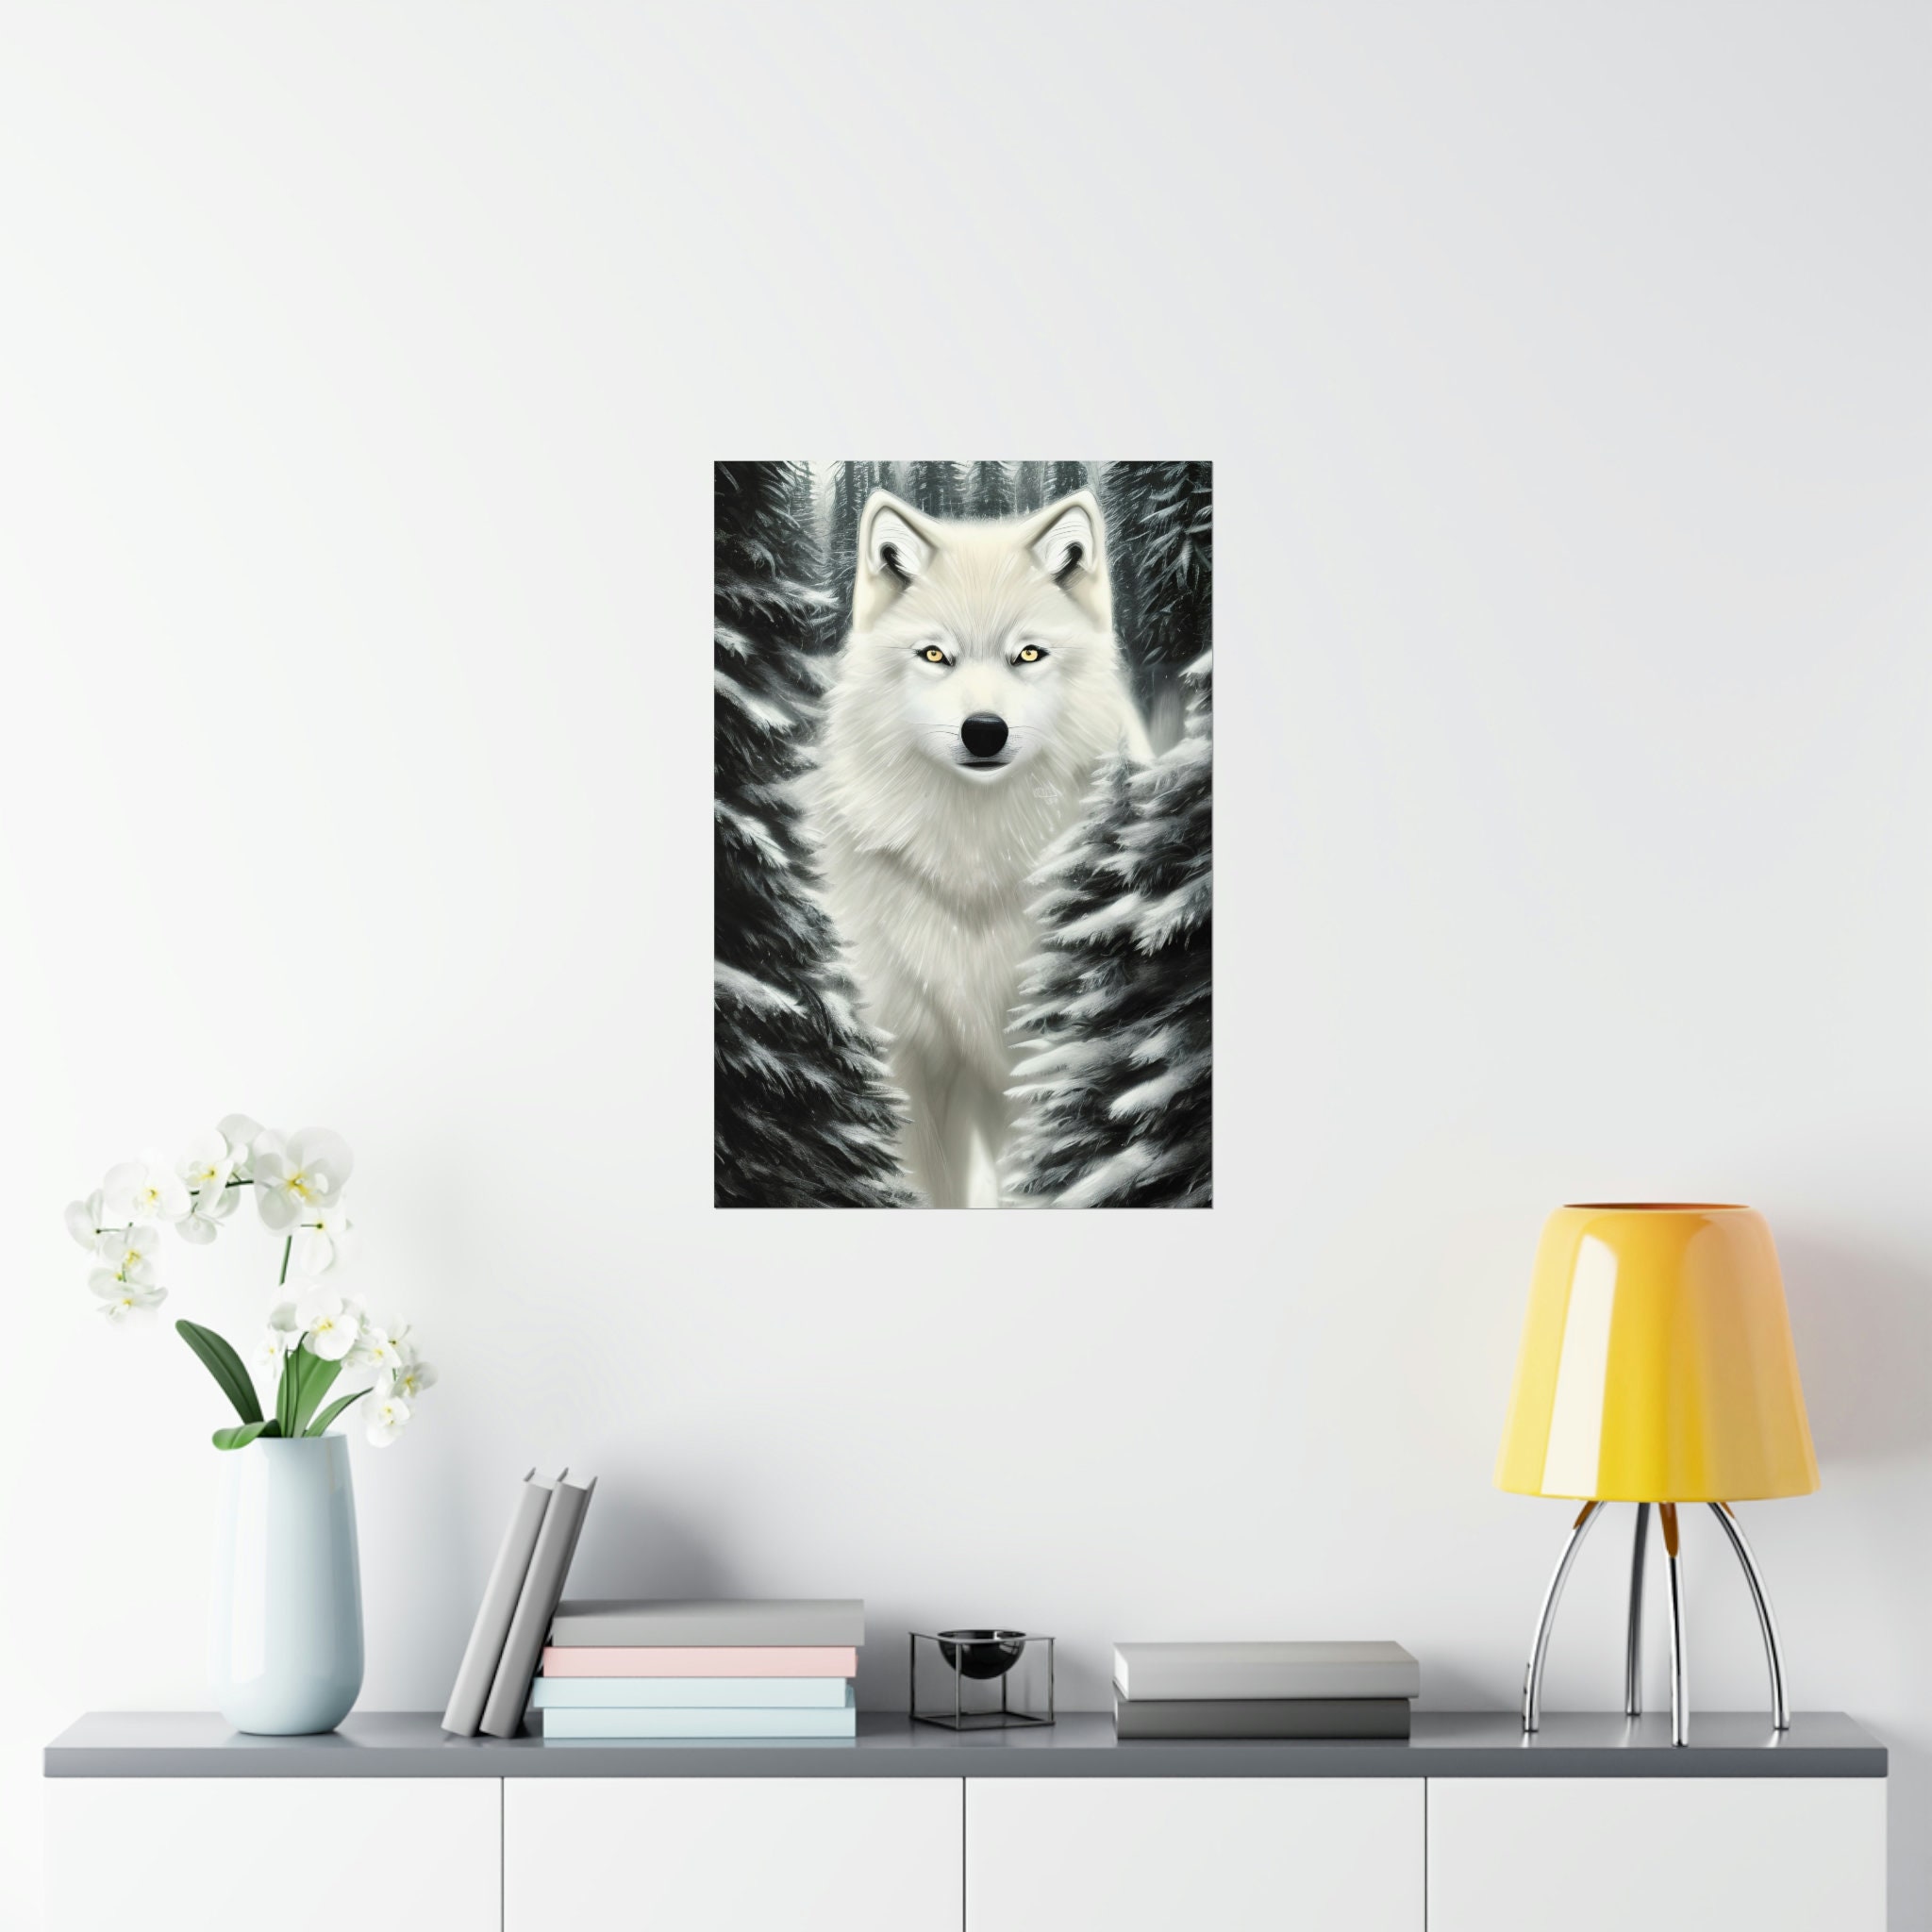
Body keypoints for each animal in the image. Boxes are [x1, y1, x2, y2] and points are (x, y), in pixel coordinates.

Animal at [809, 488, 1150, 1208]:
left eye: (1029, 655)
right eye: (936, 655)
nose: (984, 731)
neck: (975, 857)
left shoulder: (1039, 1058)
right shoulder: (907, 1056)